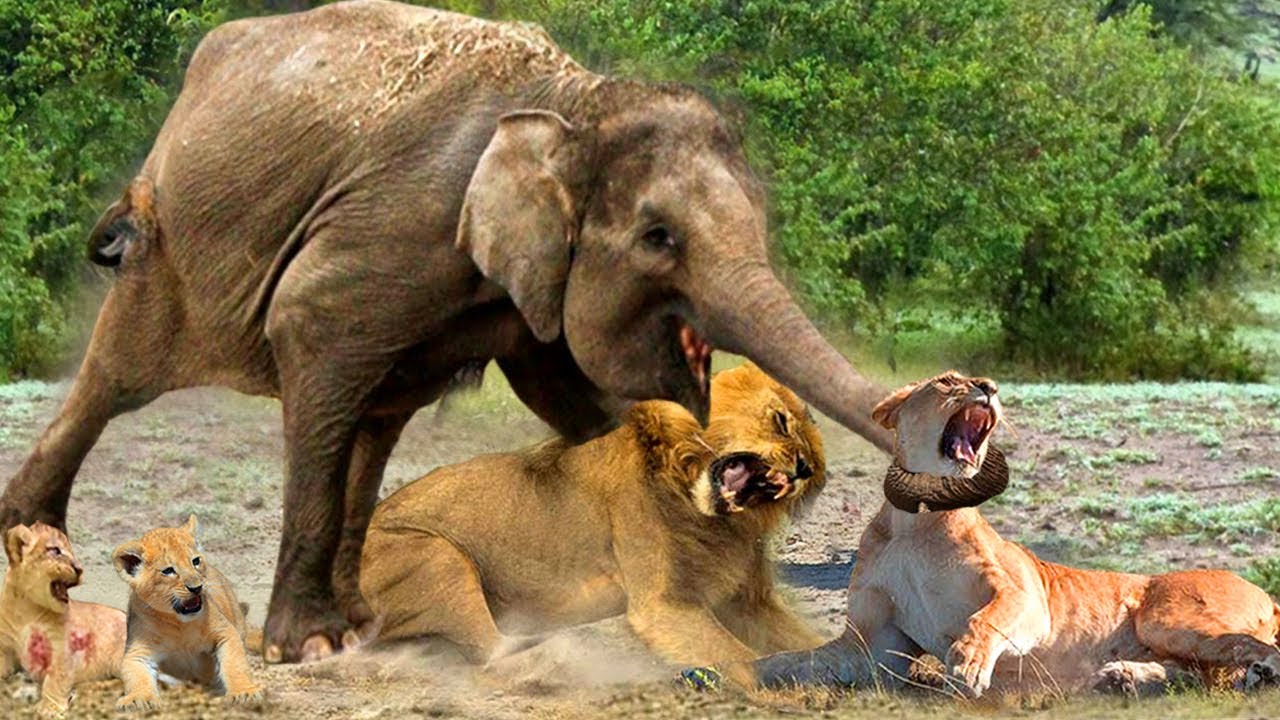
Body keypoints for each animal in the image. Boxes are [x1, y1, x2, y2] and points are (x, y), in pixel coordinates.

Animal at [0, 523, 125, 717]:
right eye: (55, 550)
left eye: (71, 552)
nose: (80, 569)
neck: (25, 610)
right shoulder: (5, 649)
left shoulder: (61, 649)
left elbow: (56, 678)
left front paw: (49, 708)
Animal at [112, 515, 262, 709]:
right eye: (168, 571)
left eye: (195, 561)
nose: (196, 587)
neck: (179, 625)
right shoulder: (138, 650)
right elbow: (135, 674)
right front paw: (139, 699)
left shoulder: (225, 632)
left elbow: (234, 663)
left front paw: (244, 692)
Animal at [360, 363, 825, 678]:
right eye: (781, 421)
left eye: (813, 464)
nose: (802, 468)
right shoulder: (663, 606)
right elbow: (742, 659)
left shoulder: (747, 602)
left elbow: (809, 643)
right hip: (439, 556)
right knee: (491, 653)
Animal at [691, 371, 1280, 695]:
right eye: (948, 380)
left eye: (980, 380)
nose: (990, 387)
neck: (915, 519)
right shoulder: (872, 649)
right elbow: (785, 661)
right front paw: (713, 673)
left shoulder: (1025, 596)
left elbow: (985, 619)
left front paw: (969, 666)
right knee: (1200, 673)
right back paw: (1124, 678)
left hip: (1168, 616)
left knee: (1248, 650)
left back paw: (1258, 672)